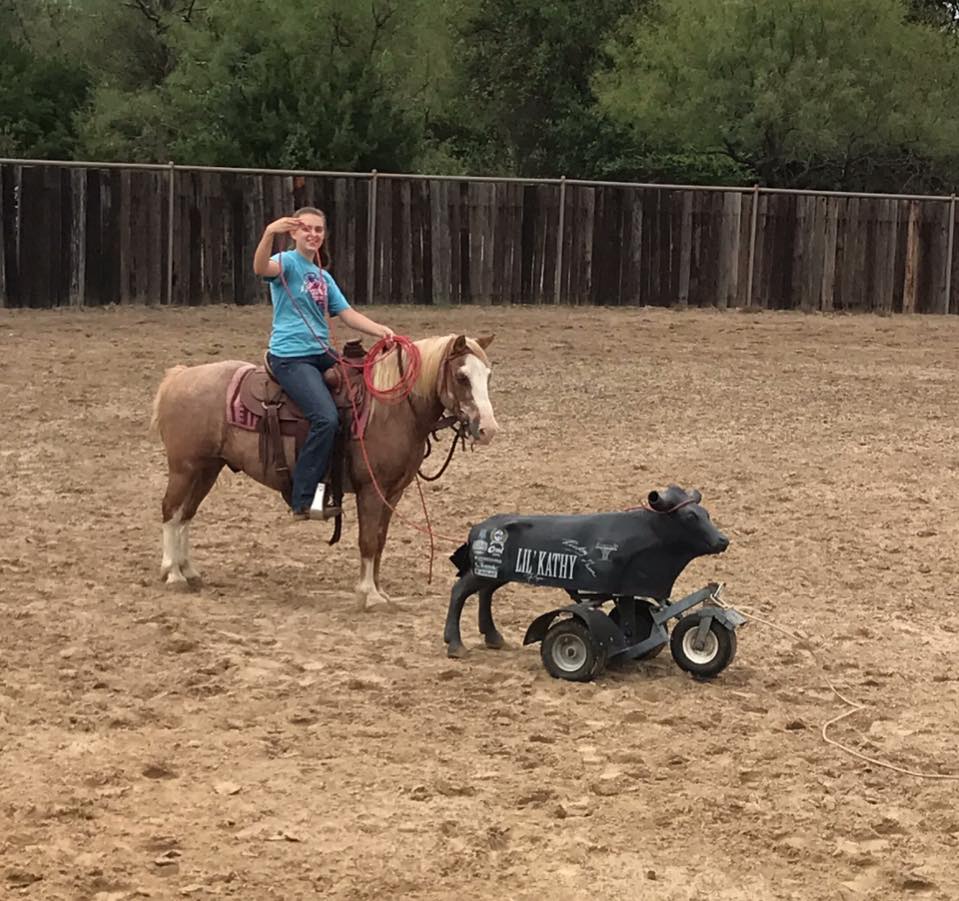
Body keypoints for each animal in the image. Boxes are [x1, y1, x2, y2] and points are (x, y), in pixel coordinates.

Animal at [150, 333, 498, 610]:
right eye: (462, 376)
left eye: (488, 375)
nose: (488, 430)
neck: (391, 409)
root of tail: (178, 377)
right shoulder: (371, 490)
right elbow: (368, 540)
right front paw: (369, 595)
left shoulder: (393, 492)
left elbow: (380, 540)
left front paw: (379, 591)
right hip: (184, 467)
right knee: (170, 511)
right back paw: (172, 573)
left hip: (208, 467)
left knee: (185, 514)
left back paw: (188, 571)